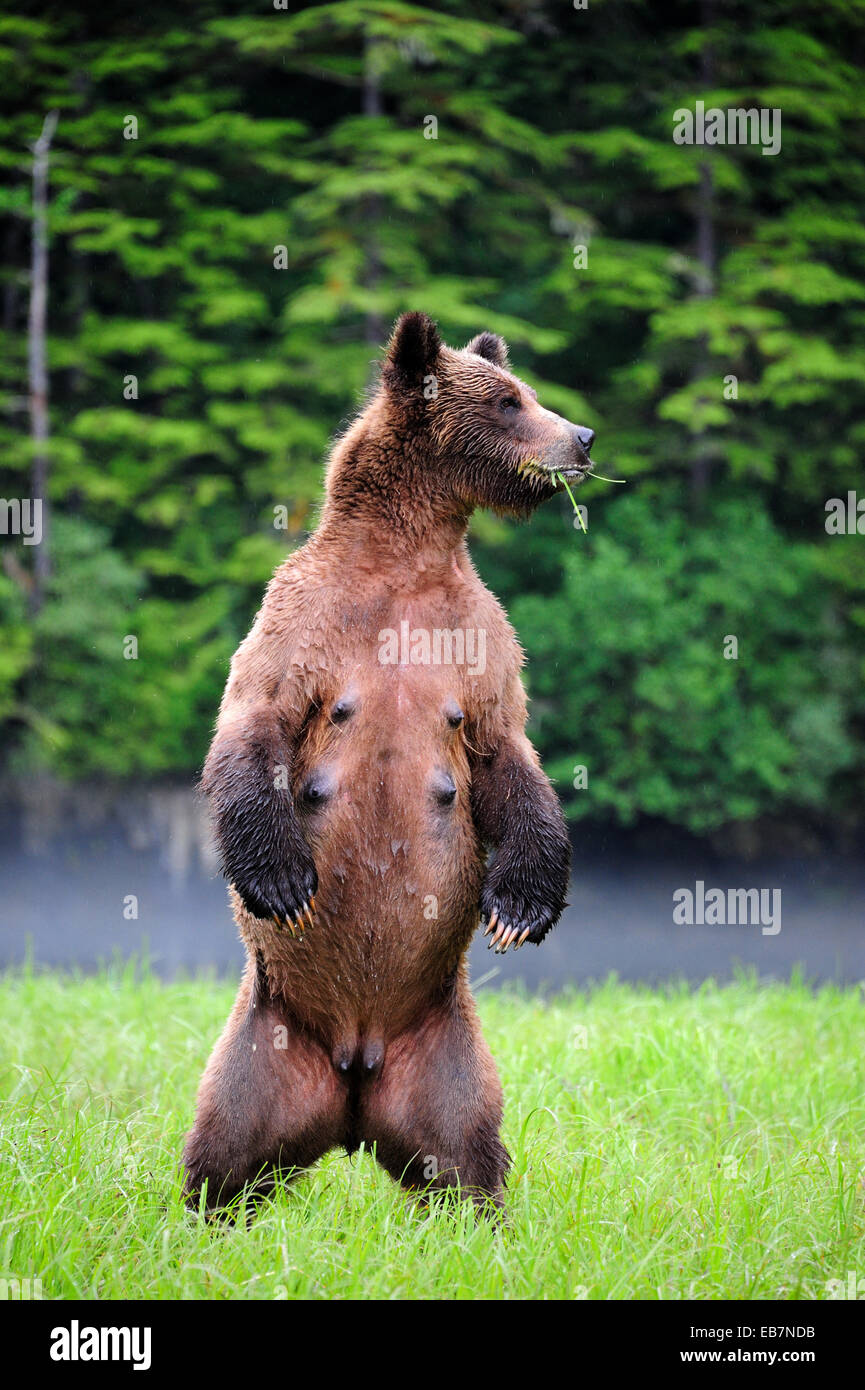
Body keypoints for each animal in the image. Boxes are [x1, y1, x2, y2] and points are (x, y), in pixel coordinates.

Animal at [182, 312, 596, 1212]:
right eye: (511, 401)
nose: (582, 437)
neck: (406, 558)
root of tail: (353, 1072)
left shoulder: (476, 640)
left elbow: (509, 758)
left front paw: (521, 906)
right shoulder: (306, 619)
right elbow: (251, 729)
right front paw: (282, 881)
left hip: (444, 1052)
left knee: (467, 1151)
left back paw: (483, 1218)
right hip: (262, 1039)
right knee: (222, 1150)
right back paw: (197, 1215)